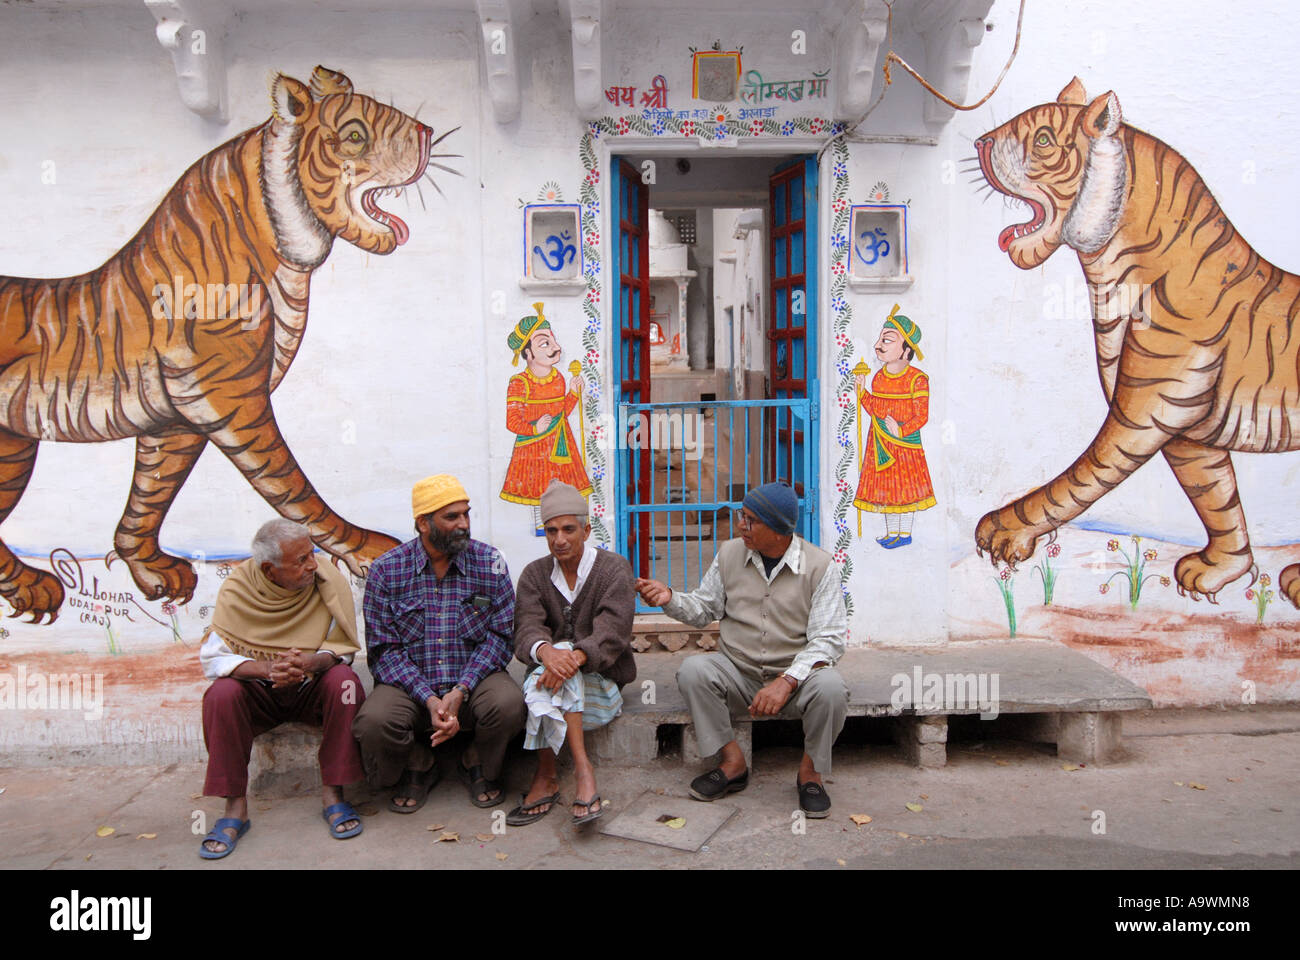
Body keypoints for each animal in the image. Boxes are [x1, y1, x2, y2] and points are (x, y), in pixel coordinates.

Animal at [0, 66, 445, 622]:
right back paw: (33, 587)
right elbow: (291, 484)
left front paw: (152, 571)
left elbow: (149, 495)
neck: (281, 255)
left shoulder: (173, 423)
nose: (429, 133)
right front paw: (369, 548)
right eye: (355, 134)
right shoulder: (230, 398)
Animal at [973, 77, 1300, 609]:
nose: (980, 143)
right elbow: (1217, 495)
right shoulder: (1188, 435)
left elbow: (1080, 477)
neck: (1111, 272)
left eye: (1042, 139)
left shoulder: (1142, 410)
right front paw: (1219, 569)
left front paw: (1004, 529)